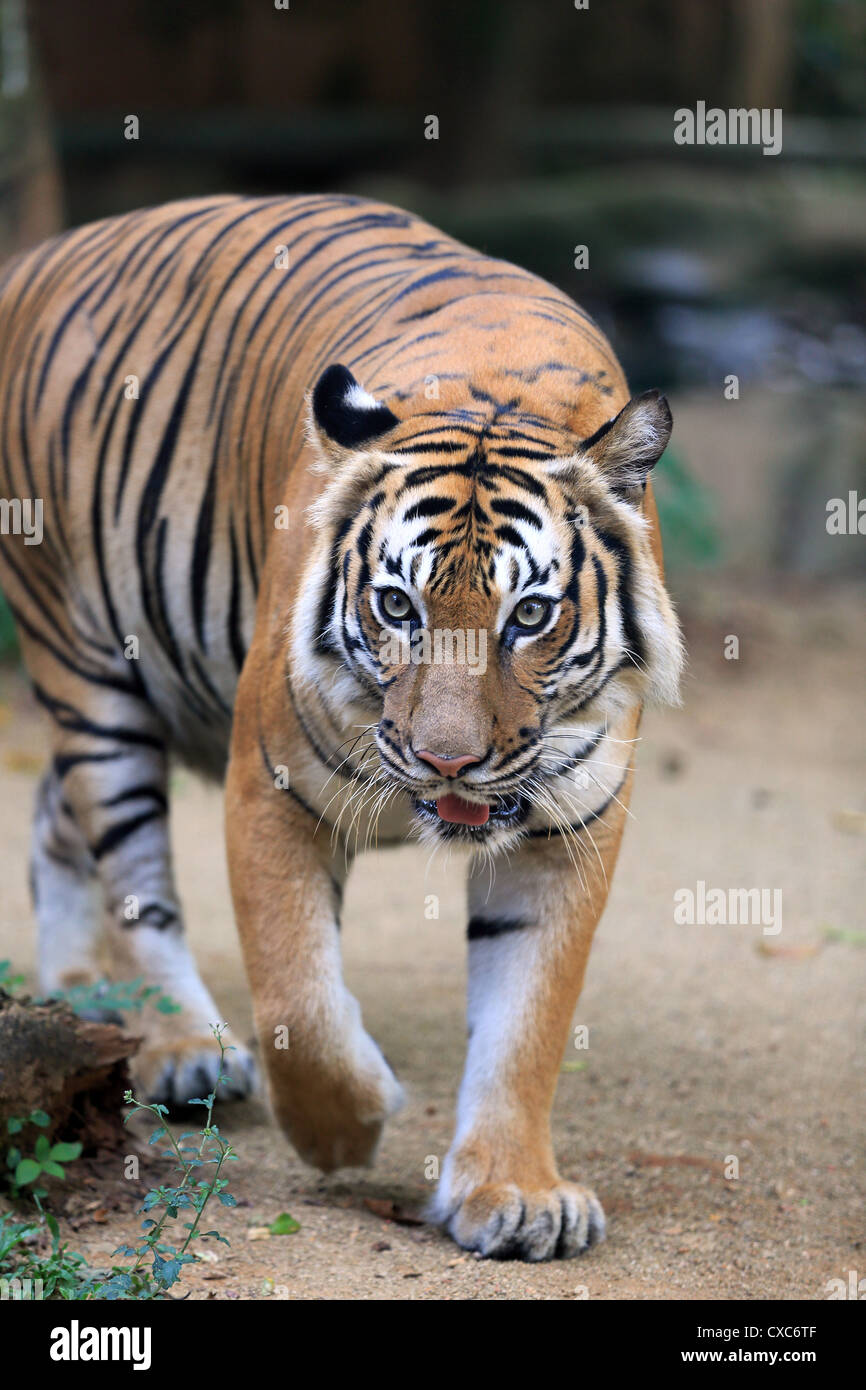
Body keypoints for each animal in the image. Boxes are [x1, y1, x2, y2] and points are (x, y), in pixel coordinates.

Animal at [0, 194, 683, 1261]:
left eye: (529, 615)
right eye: (397, 605)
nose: (449, 760)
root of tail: (38, 258)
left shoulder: (570, 825)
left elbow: (529, 1020)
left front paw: (515, 1194)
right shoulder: (270, 786)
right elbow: (300, 999)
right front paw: (344, 1131)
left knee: (49, 811)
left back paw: (77, 994)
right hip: (85, 659)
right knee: (134, 874)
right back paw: (182, 1048)